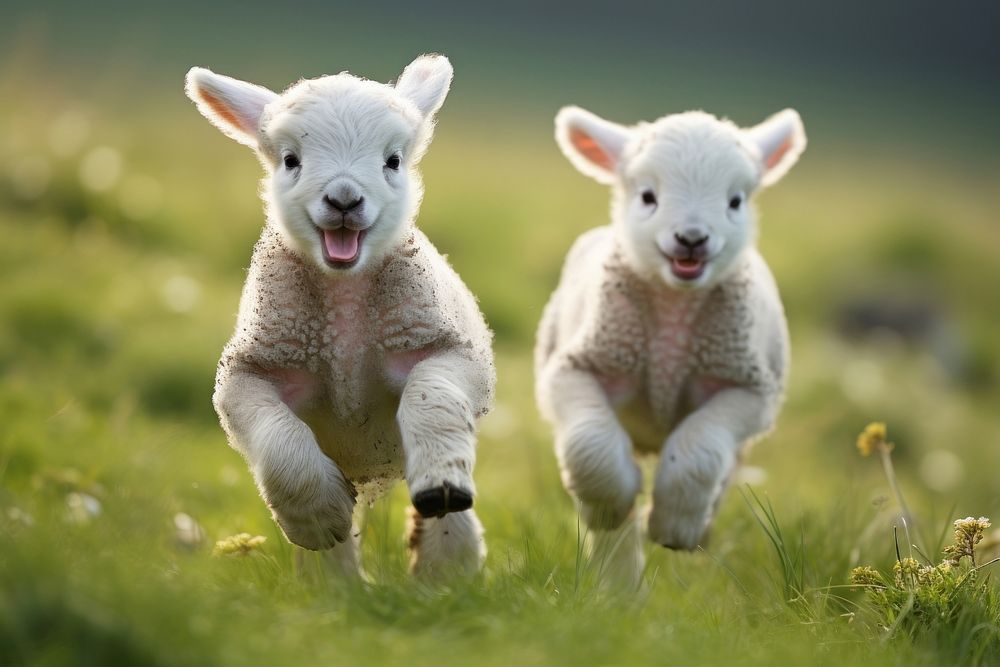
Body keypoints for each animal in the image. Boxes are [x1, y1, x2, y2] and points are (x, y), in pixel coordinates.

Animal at [184, 55, 495, 579]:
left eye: (393, 161)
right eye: (291, 160)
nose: (345, 200)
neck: (345, 318)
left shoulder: (448, 348)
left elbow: (431, 396)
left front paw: (441, 487)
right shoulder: (247, 373)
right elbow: (279, 443)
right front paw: (317, 518)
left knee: (451, 532)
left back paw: (445, 575)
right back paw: (337, 583)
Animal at [535, 105, 805, 586]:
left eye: (735, 201)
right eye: (647, 197)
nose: (692, 239)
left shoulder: (750, 388)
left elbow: (699, 450)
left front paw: (673, 527)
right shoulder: (574, 365)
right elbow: (591, 450)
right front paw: (612, 504)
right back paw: (618, 584)